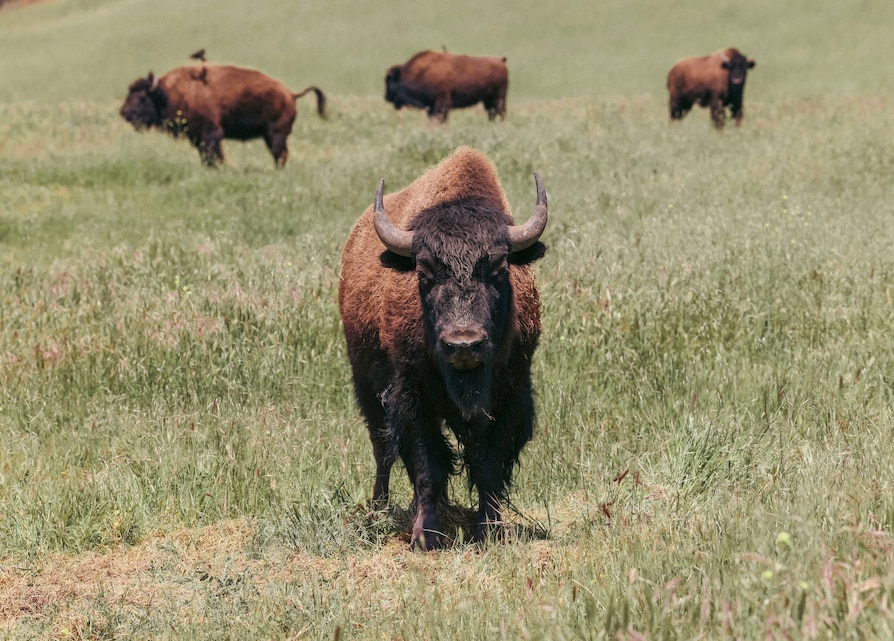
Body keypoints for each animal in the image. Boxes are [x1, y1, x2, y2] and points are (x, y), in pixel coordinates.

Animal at [120, 62, 326, 166]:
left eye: (142, 97)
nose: (124, 112)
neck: (167, 94)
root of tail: (291, 94)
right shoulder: (197, 137)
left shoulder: (210, 134)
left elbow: (213, 155)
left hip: (276, 133)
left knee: (280, 153)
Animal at [338, 147, 548, 550]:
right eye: (424, 272)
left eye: (500, 268)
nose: (464, 343)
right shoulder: (412, 398)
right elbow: (428, 464)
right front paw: (426, 537)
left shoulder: (509, 399)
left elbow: (488, 467)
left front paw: (490, 531)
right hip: (366, 386)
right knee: (382, 449)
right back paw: (377, 511)